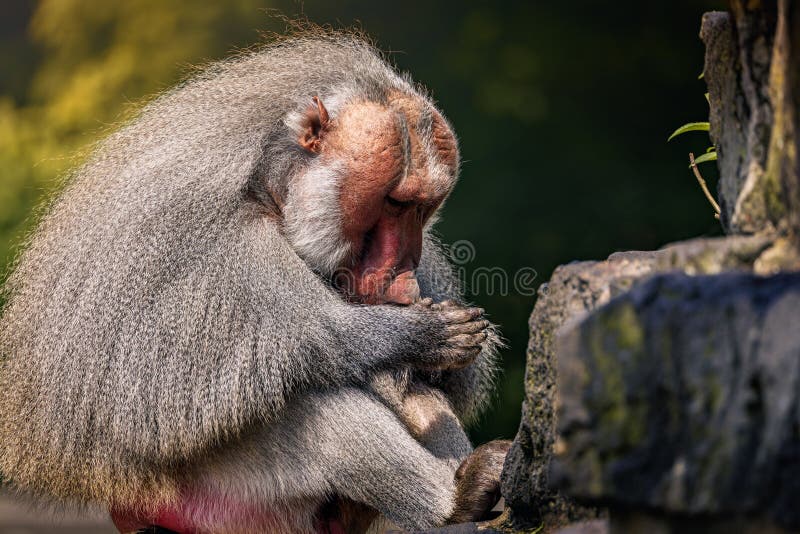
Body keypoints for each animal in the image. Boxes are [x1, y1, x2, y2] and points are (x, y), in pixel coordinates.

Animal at [0, 31, 511, 533]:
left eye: (423, 209)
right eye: (394, 202)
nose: (406, 290)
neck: (265, 188)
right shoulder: (225, 245)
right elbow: (315, 343)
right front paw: (421, 334)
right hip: (215, 497)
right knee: (321, 405)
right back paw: (451, 504)